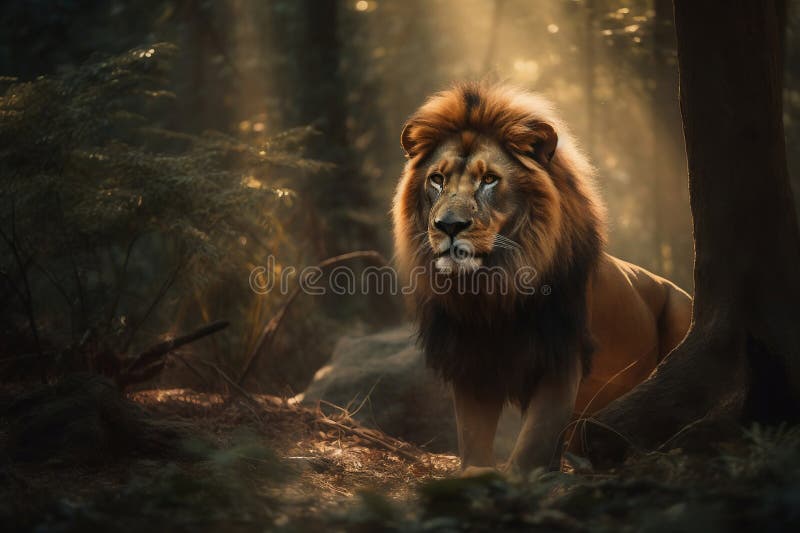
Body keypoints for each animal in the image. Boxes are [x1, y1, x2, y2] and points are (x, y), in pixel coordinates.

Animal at [392, 83, 692, 475]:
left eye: (489, 179)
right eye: (437, 180)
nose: (449, 226)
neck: (492, 291)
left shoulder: (562, 355)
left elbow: (534, 443)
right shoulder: (471, 361)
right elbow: (473, 439)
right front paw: (474, 473)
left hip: (681, 312)